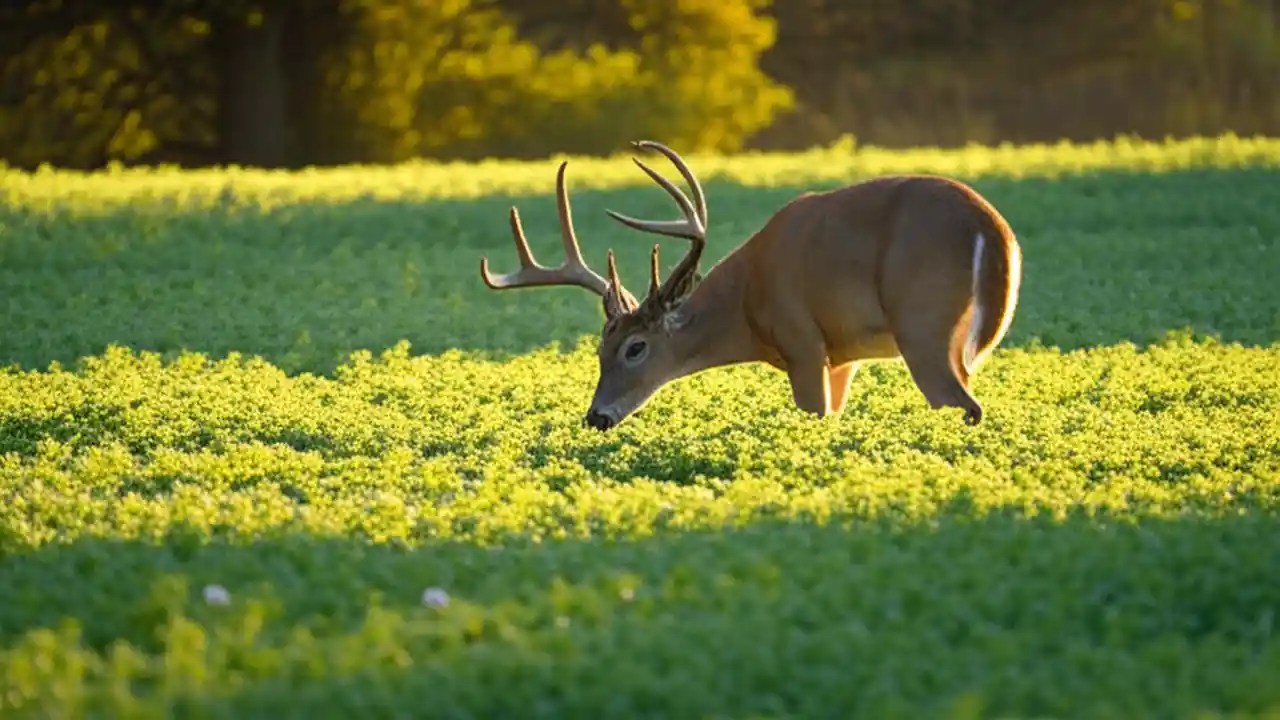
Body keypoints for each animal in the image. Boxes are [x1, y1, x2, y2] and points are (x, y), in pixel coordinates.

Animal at [480, 140, 1022, 432]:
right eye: (598, 349)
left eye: (635, 347)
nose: (596, 417)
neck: (748, 304)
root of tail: (992, 231)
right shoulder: (844, 355)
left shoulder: (802, 341)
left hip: (922, 325)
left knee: (965, 406)